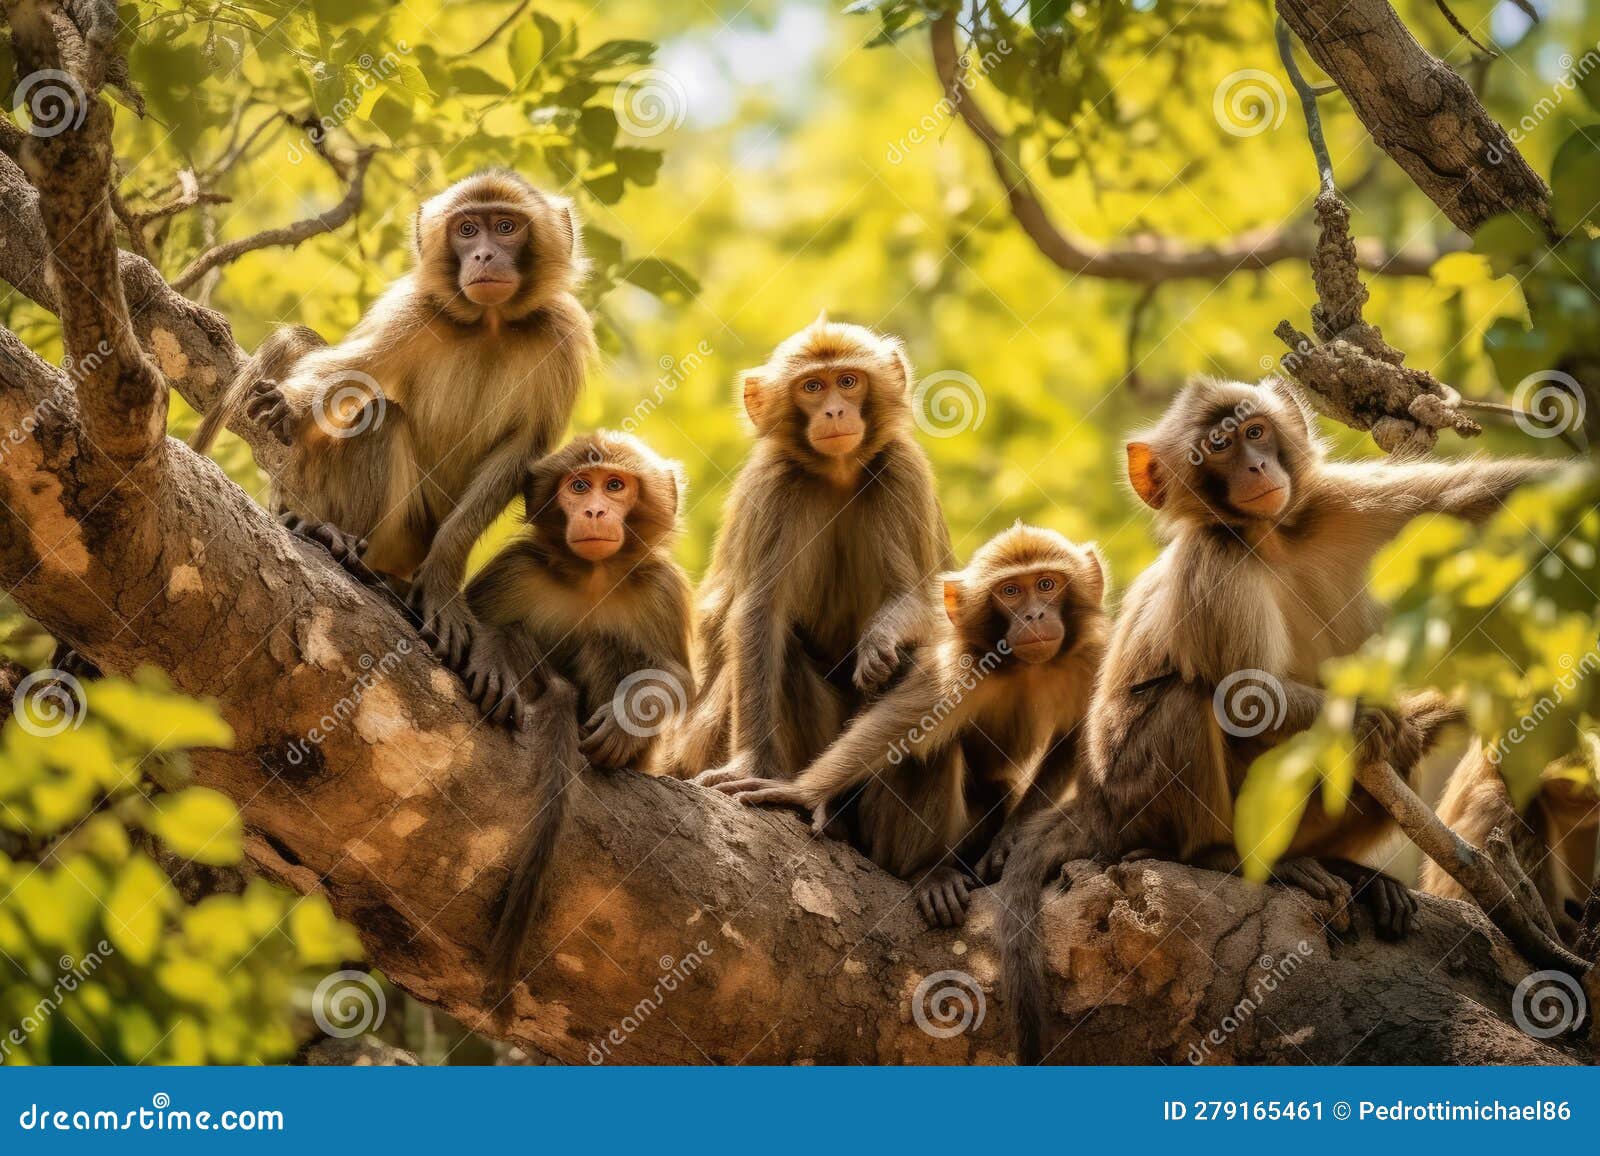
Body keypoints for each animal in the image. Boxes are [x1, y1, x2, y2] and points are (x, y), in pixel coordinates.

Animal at [191, 169, 594, 671]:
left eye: (505, 227)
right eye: (467, 230)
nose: (483, 255)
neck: (490, 323)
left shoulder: (562, 337)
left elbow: (524, 452)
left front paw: (442, 585)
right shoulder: (409, 311)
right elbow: (347, 375)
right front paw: (294, 403)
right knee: (381, 419)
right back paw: (326, 535)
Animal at [460, 431, 694, 993]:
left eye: (616, 486)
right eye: (579, 486)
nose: (594, 510)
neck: (593, 576)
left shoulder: (662, 589)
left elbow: (676, 680)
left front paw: (628, 719)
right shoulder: (516, 569)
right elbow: (472, 619)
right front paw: (493, 653)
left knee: (607, 643)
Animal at [665, 316, 954, 786]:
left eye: (848, 381)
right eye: (813, 387)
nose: (835, 411)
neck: (837, 473)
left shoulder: (901, 467)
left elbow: (914, 598)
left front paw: (881, 642)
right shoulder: (773, 483)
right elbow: (759, 615)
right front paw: (750, 763)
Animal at [715, 524, 1108, 928]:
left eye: (1046, 584)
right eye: (1010, 591)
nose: (1034, 615)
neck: (1025, 667)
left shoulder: (1091, 657)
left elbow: (1073, 741)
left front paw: (1011, 838)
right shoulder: (959, 665)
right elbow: (898, 726)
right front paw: (799, 792)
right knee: (928, 753)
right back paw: (927, 872)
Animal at [998, 375, 1559, 1063]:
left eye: (1256, 432)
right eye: (1218, 447)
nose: (1256, 467)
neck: (1269, 537)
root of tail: (1097, 804)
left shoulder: (1335, 503)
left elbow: (1485, 501)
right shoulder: (1215, 559)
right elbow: (1242, 697)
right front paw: (1375, 717)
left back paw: (1346, 868)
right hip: (1136, 801)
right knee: (1188, 701)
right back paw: (1221, 856)